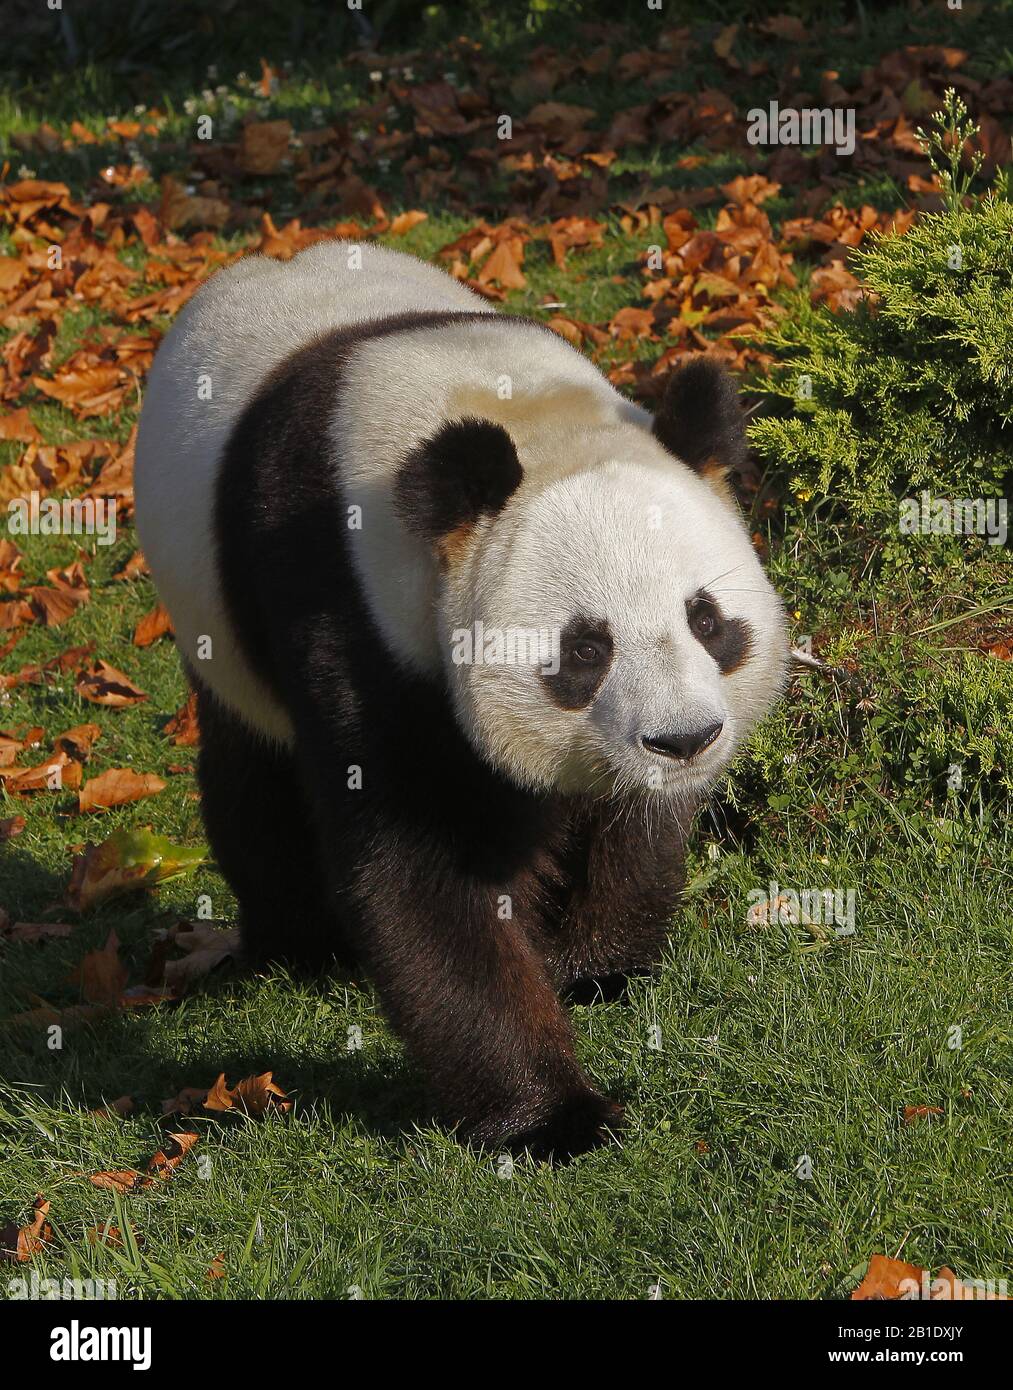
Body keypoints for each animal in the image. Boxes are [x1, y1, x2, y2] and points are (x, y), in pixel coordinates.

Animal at [134, 241, 787, 1161]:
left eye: (705, 619)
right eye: (584, 649)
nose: (684, 739)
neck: (504, 402)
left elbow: (632, 821)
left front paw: (598, 968)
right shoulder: (351, 607)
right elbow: (421, 866)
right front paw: (554, 1119)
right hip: (213, 624)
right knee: (252, 780)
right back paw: (303, 947)